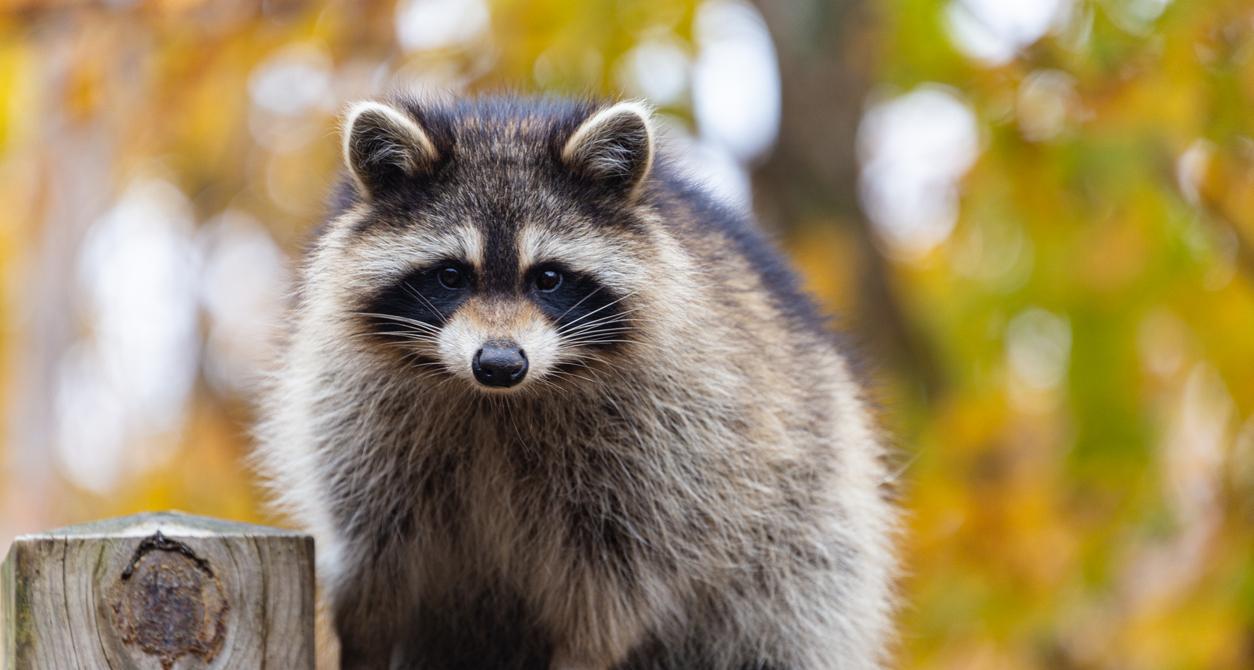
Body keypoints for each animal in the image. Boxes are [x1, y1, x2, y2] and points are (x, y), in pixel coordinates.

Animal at [256, 96, 896, 670]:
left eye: (549, 278)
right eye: (450, 275)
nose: (499, 363)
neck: (496, 402)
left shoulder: (673, 445)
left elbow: (616, 588)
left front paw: (586, 650)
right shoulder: (357, 422)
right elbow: (374, 563)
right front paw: (363, 638)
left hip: (806, 541)